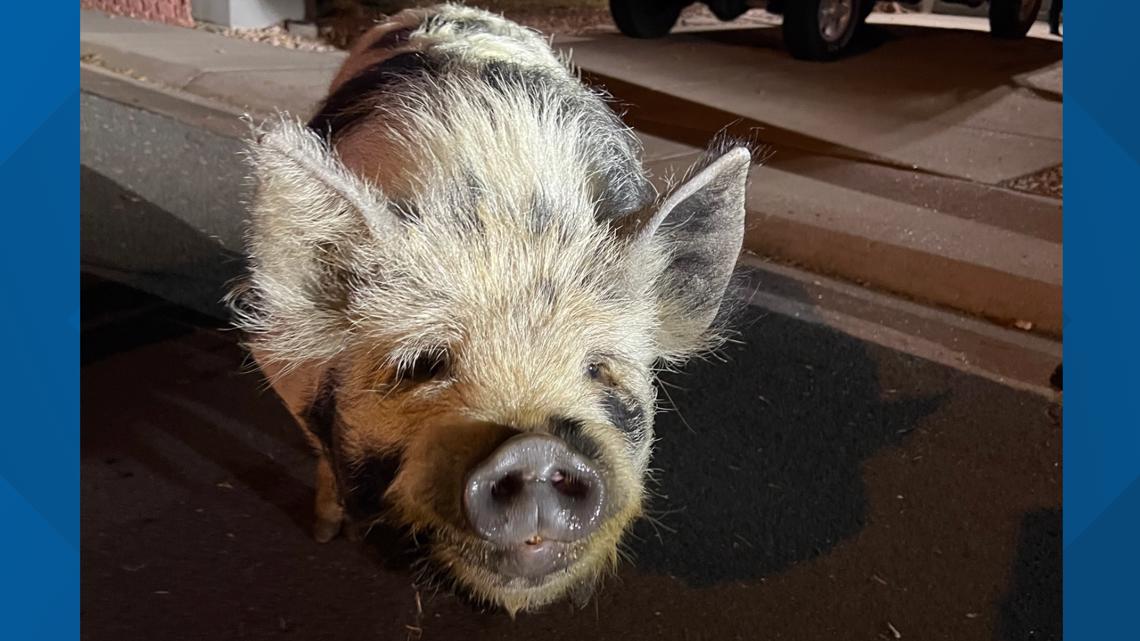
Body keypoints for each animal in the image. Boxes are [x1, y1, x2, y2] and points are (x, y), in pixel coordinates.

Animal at [229, 3, 751, 614]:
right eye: (423, 365)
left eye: (599, 368)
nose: (535, 449)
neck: (505, 204)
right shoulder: (279, 361)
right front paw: (325, 534)